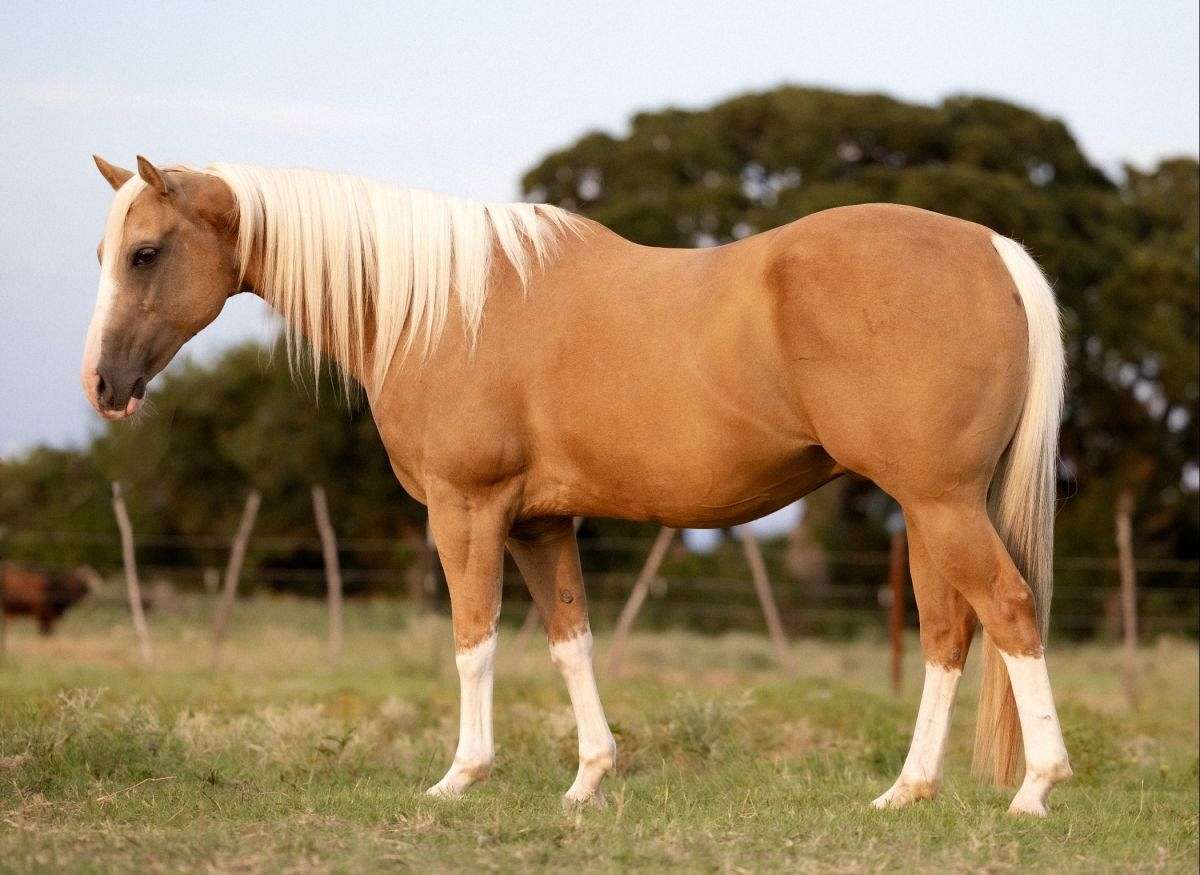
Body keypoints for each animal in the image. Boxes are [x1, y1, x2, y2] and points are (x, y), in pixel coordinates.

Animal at [83, 155, 1071, 815]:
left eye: (145, 253)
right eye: (105, 251)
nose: (102, 386)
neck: (440, 307)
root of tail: (995, 250)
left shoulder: (468, 509)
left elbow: (473, 639)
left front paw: (460, 776)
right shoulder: (540, 523)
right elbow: (571, 642)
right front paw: (589, 777)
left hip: (941, 503)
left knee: (1010, 609)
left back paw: (1036, 788)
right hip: (929, 509)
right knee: (948, 634)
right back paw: (908, 790)